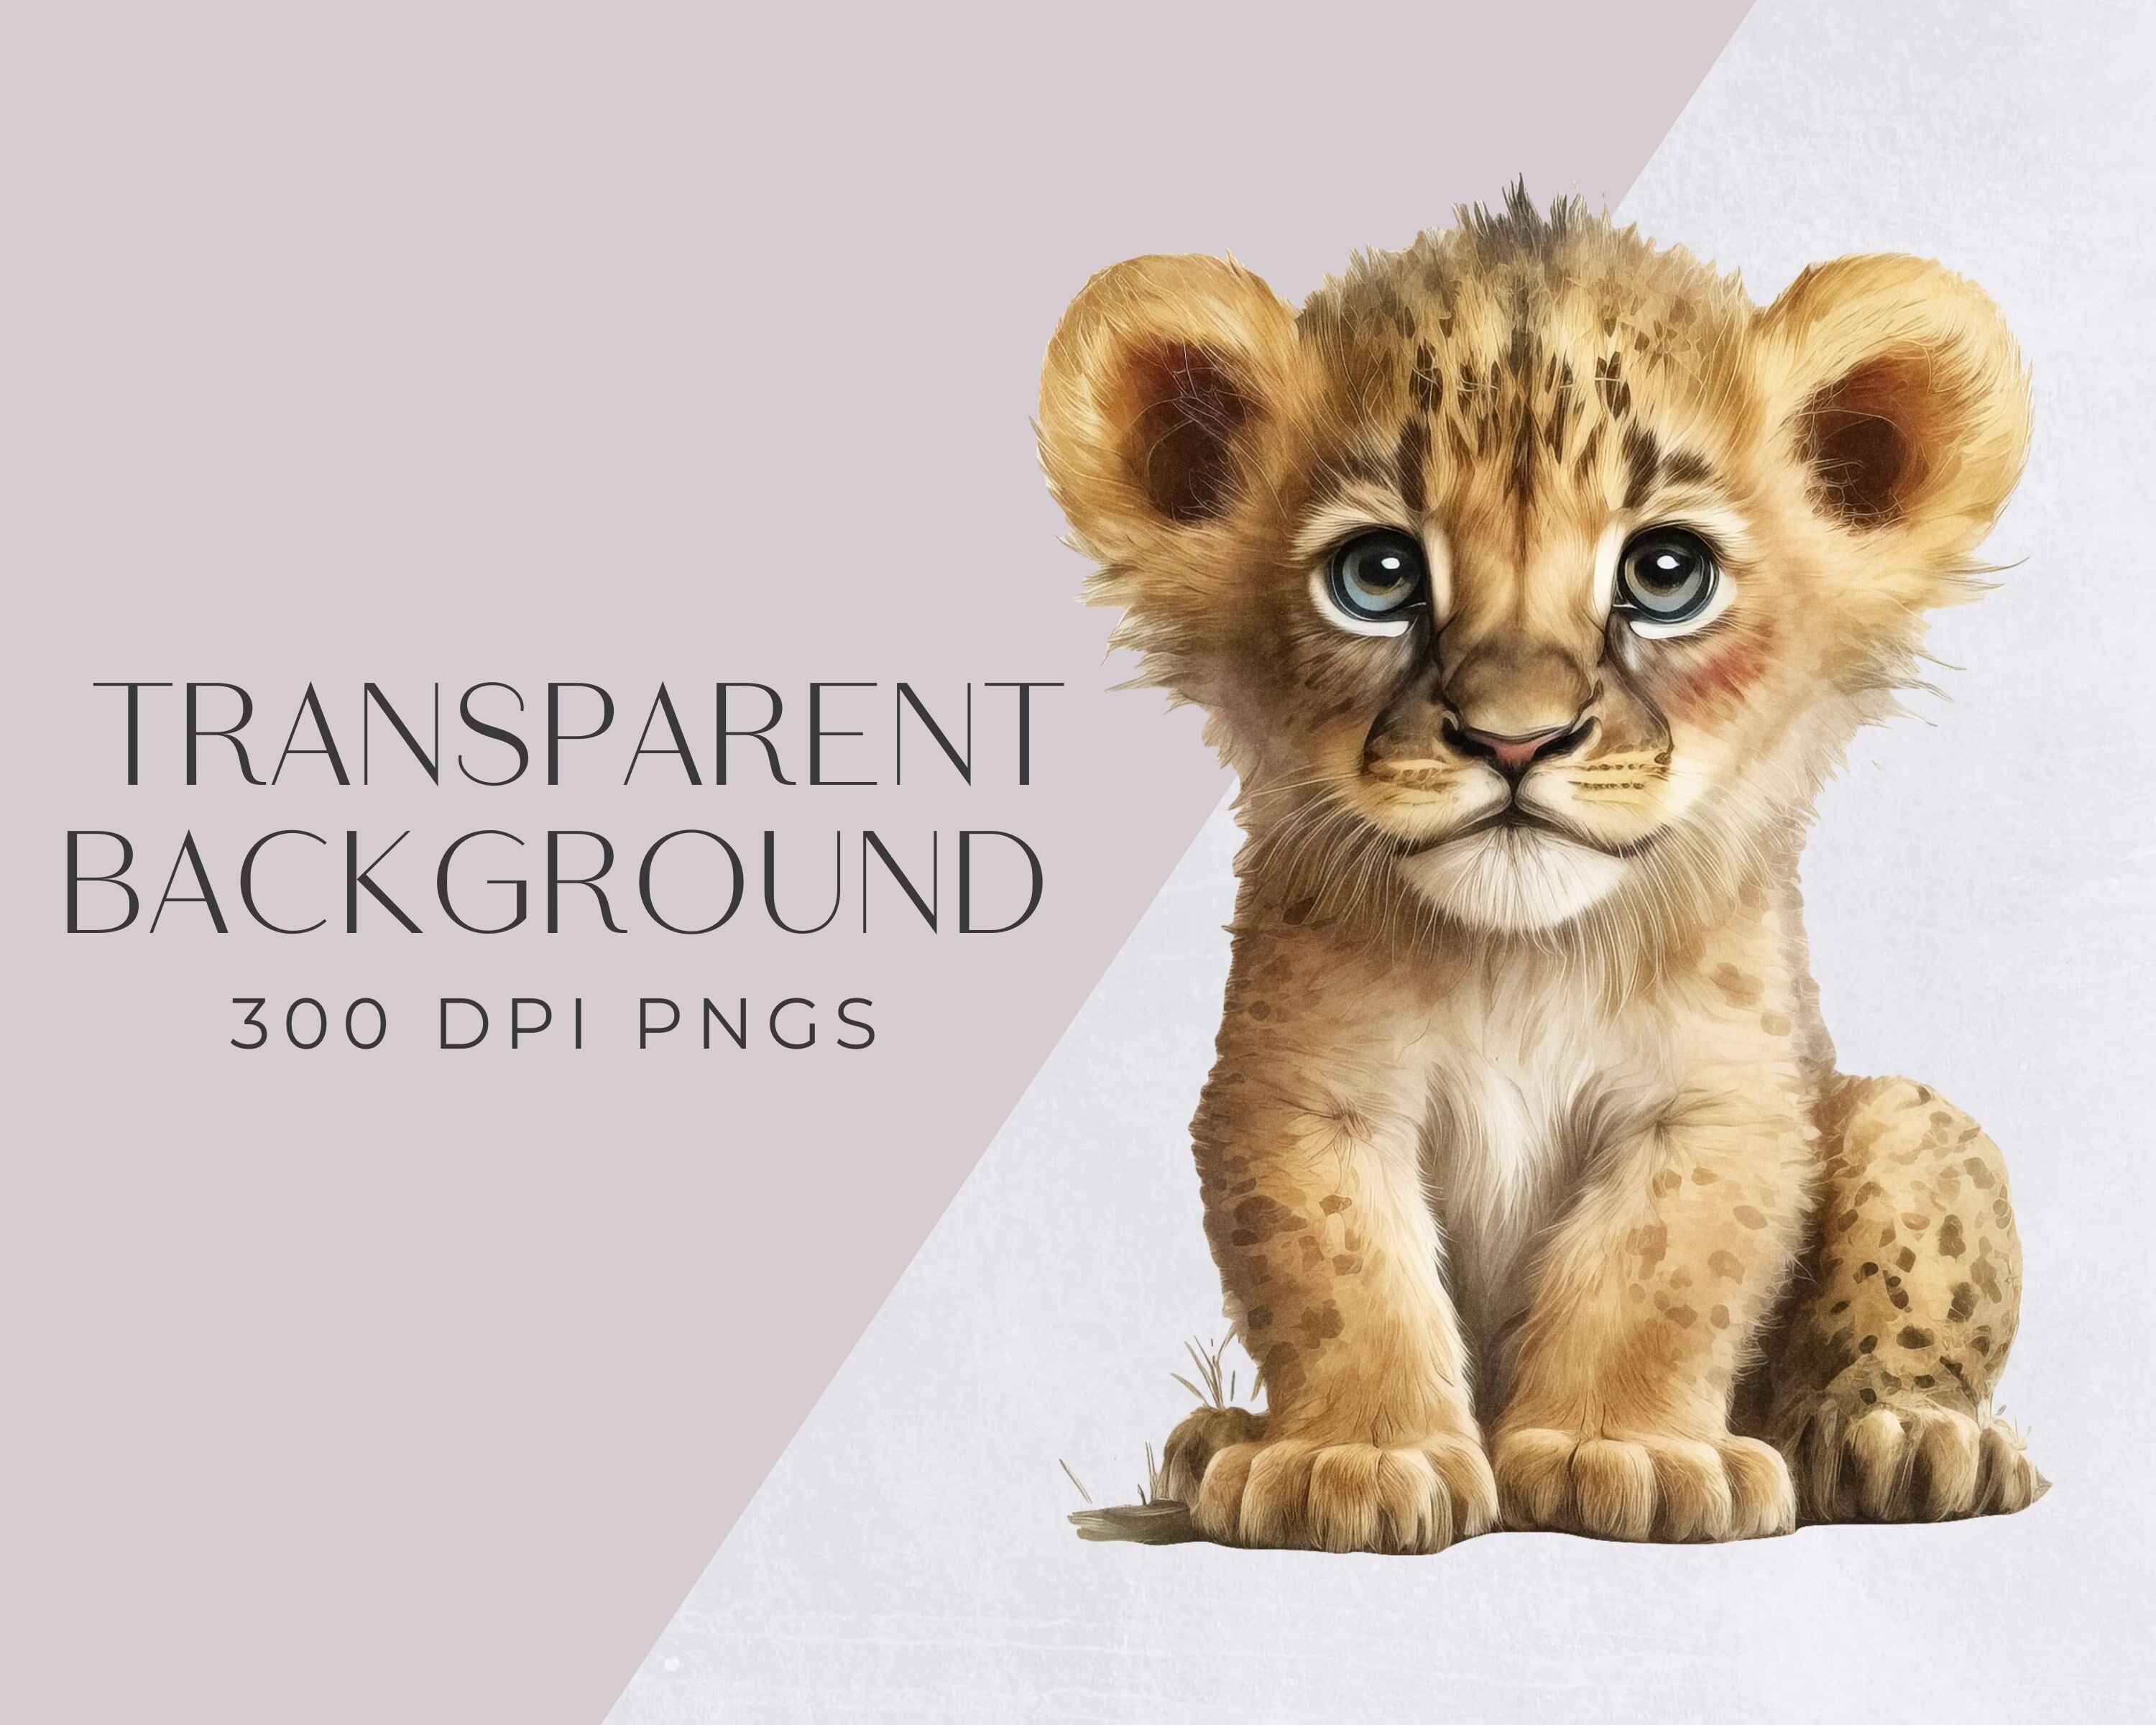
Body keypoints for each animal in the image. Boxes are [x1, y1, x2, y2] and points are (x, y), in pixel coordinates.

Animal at [1037, 187, 2042, 1552]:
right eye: (1378, 576)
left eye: (1666, 574)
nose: (1515, 739)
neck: (1521, 961)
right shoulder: (1301, 1096)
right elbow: (1340, 1275)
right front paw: (1352, 1458)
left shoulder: (1719, 1103)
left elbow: (1659, 1271)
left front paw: (1630, 1451)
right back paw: (1216, 1439)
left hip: (1903, 1117)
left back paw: (1909, 1438)